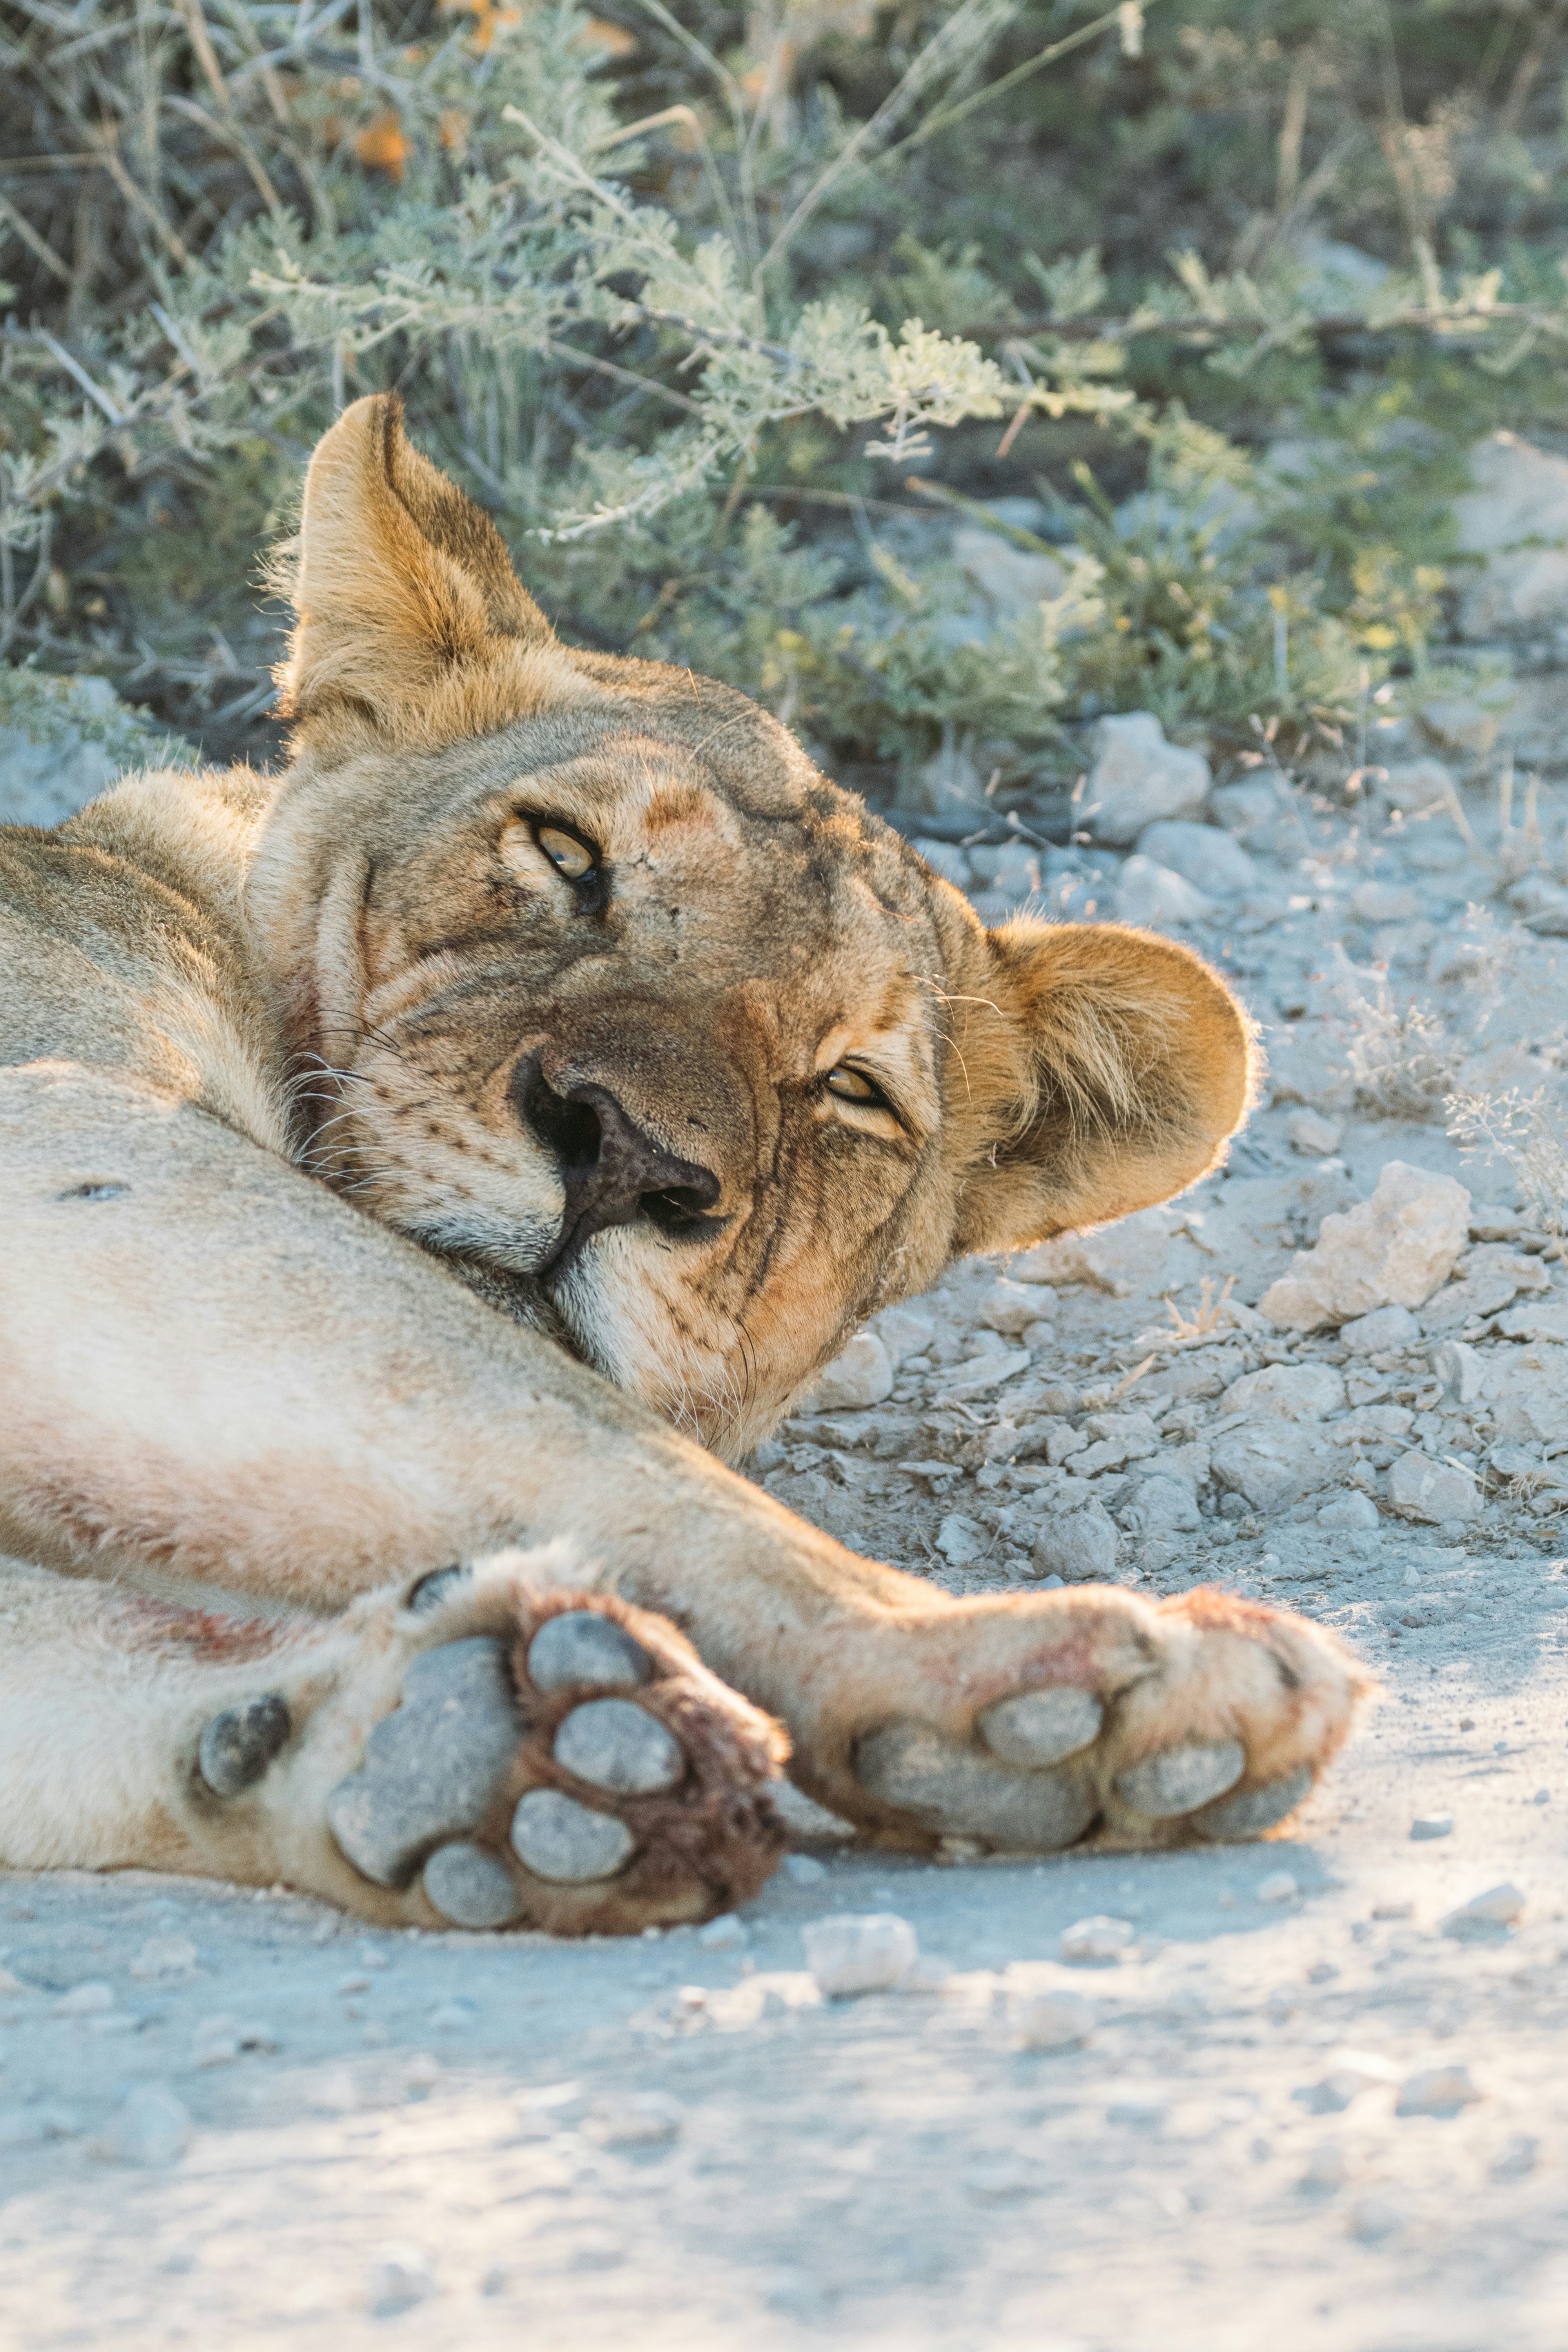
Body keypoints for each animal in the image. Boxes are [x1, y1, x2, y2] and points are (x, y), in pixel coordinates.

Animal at [0, 395, 1367, 1935]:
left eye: (850, 1089)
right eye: (563, 853)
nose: (625, 1157)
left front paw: (443, 1747)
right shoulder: (77, 1122)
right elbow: (621, 1459)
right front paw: (1038, 1665)